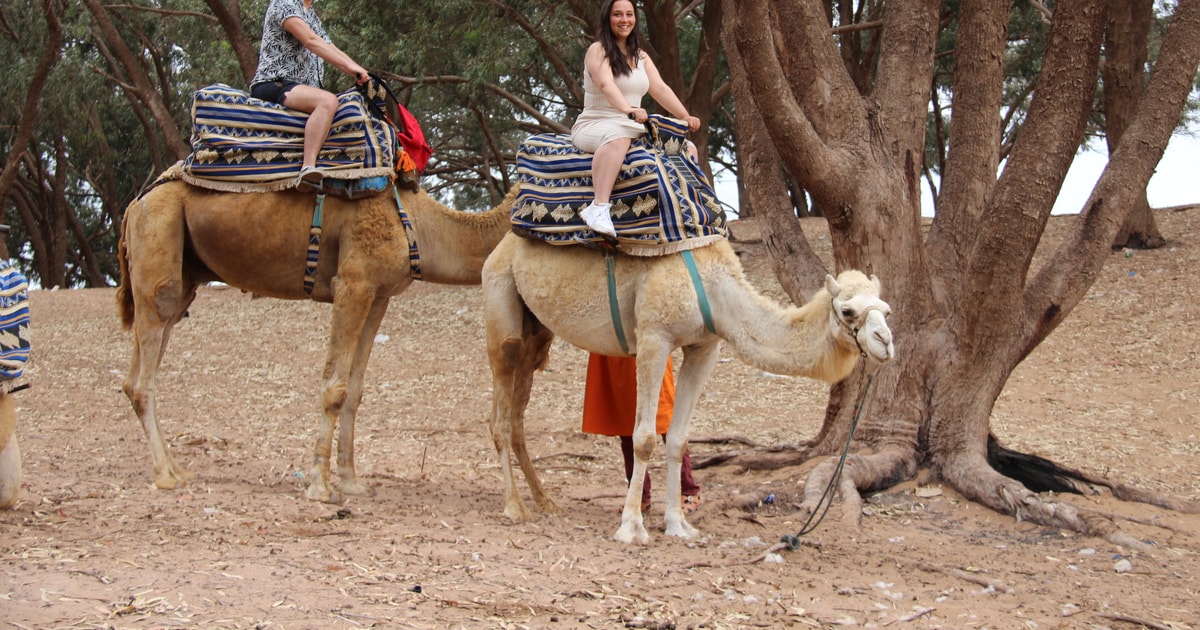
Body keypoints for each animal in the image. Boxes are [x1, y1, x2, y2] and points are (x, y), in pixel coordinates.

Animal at [117, 180, 514, 502]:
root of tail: (135, 203)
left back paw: (178, 469)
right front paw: (319, 487)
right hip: (159, 240)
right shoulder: (353, 283)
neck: (419, 226)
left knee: (142, 360)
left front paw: (352, 482)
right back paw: (166, 476)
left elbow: (355, 390)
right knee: (144, 368)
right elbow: (334, 388)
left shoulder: (379, 296)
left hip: (185, 274)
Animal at [482, 234, 894, 544]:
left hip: (538, 332)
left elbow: (678, 439)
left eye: (886, 310)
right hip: (501, 300)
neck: (716, 291)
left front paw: (679, 525)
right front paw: (631, 528)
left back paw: (545, 501)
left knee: (518, 414)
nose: (886, 342)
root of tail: (500, 246)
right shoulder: (654, 338)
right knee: (500, 406)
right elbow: (645, 438)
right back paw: (515, 506)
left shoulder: (705, 346)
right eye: (847, 311)